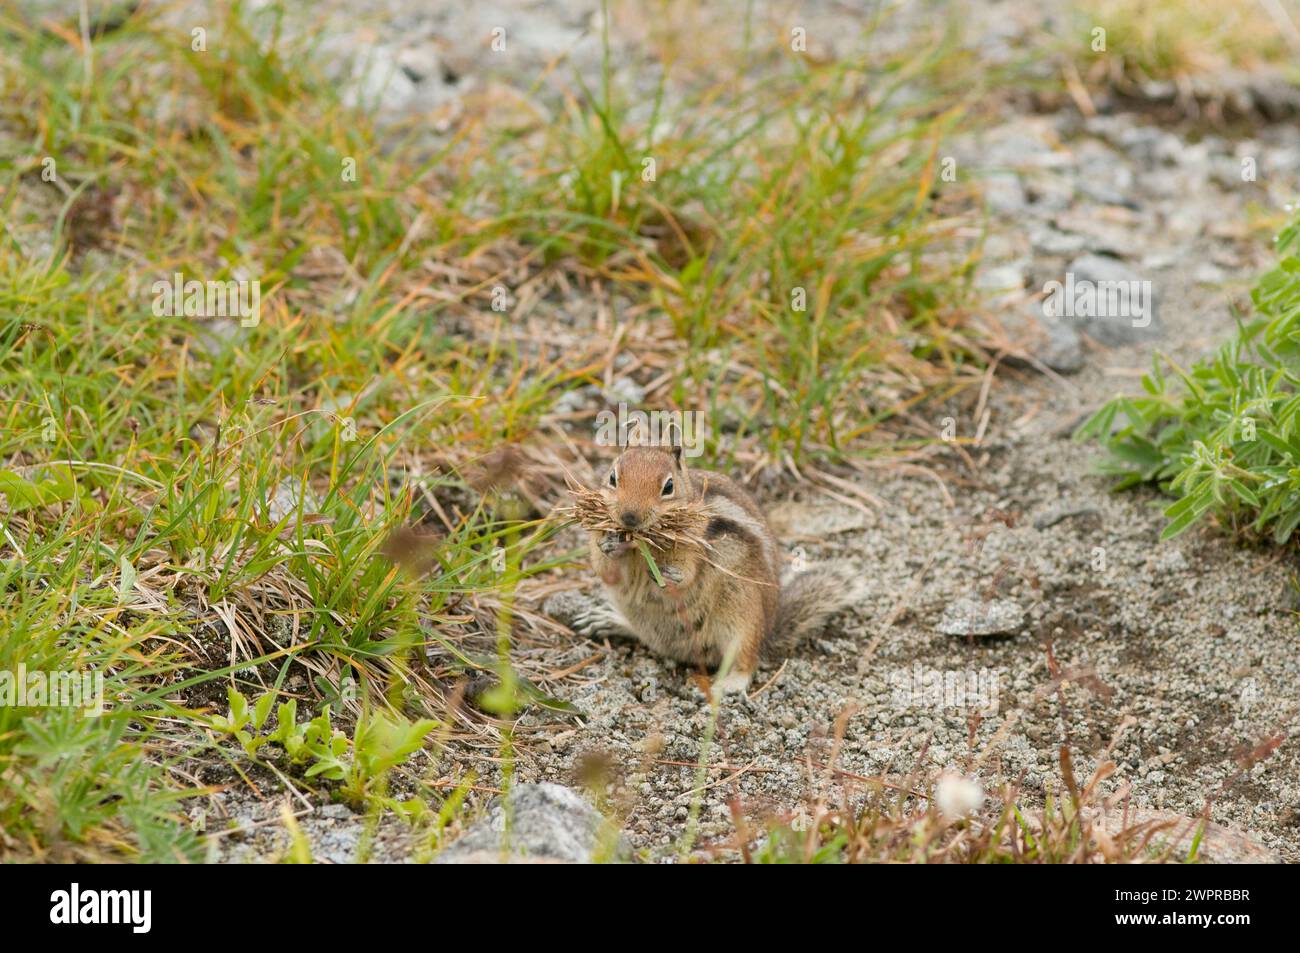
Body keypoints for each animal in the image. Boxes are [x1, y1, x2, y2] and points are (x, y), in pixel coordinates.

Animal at [561, 443, 859, 694]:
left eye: (668, 486)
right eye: (613, 477)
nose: (629, 517)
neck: (640, 547)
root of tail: (769, 630)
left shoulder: (697, 543)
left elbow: (687, 576)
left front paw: (669, 574)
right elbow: (607, 572)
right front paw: (611, 543)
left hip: (743, 617)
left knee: (747, 661)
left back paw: (725, 685)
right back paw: (607, 620)